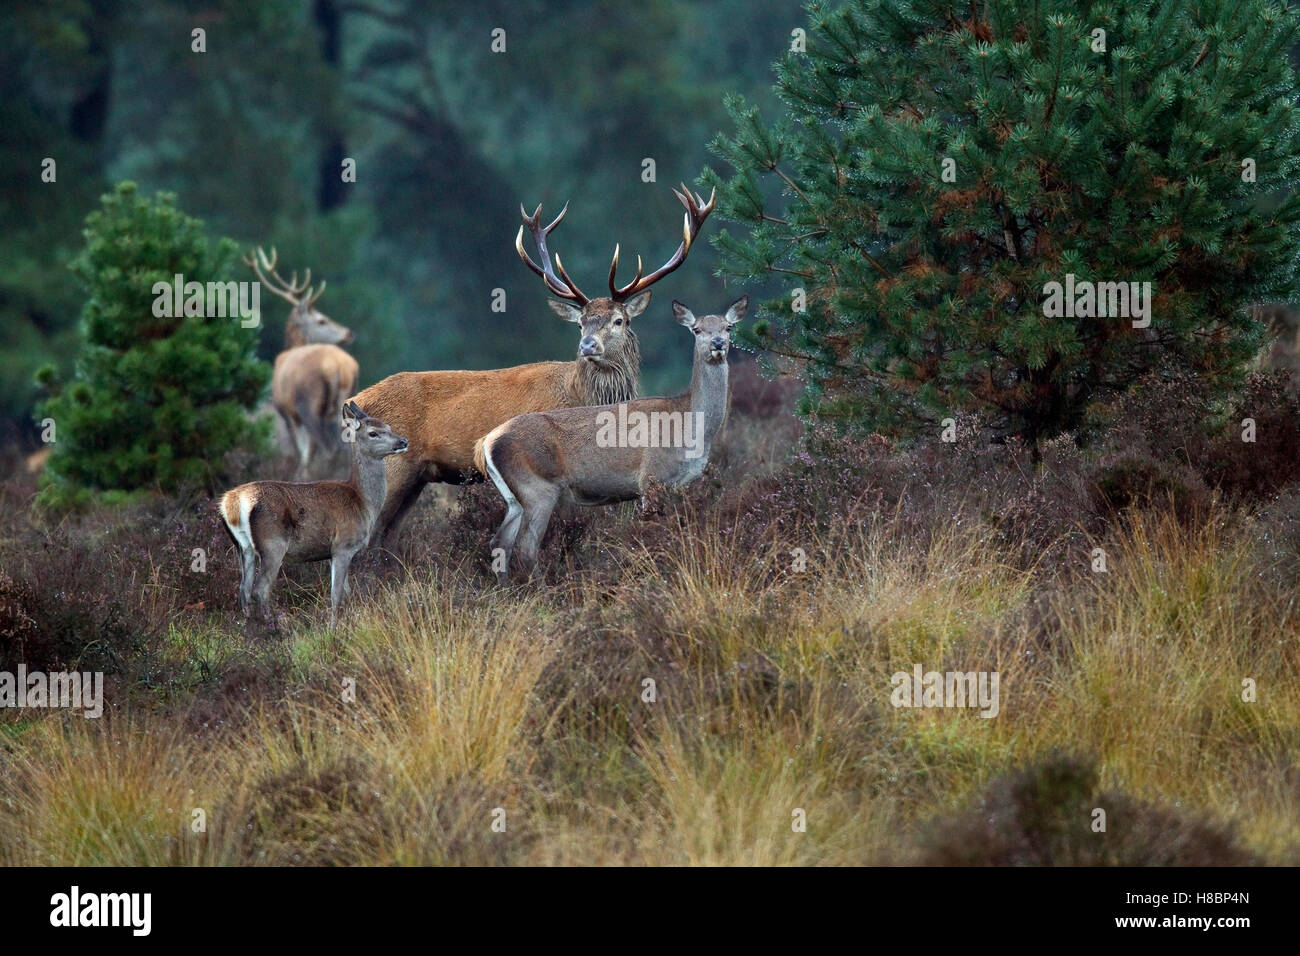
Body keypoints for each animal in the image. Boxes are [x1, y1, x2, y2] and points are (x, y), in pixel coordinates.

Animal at [220, 401, 409, 627]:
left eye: (388, 427)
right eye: (373, 433)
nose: (403, 441)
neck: (363, 502)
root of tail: (233, 502)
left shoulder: (332, 553)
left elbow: (347, 592)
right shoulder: (344, 545)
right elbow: (336, 594)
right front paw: (333, 627)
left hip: (243, 546)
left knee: (244, 589)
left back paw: (249, 627)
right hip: (272, 543)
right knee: (260, 589)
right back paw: (274, 627)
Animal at [244, 247, 359, 479]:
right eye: (322, 320)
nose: (349, 333)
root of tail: (339, 368)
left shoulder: (287, 412)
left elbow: (304, 453)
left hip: (310, 405)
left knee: (329, 448)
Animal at [349, 184, 715, 550]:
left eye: (619, 320)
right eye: (580, 323)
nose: (587, 346)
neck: (582, 396)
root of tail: (357, 401)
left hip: (416, 478)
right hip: (395, 465)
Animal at [475, 294, 748, 583]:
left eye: (728, 327)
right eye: (696, 329)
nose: (718, 343)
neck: (689, 425)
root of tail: (486, 442)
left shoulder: (680, 484)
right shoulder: (651, 477)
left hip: (515, 497)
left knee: (499, 542)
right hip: (538, 488)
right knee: (526, 547)